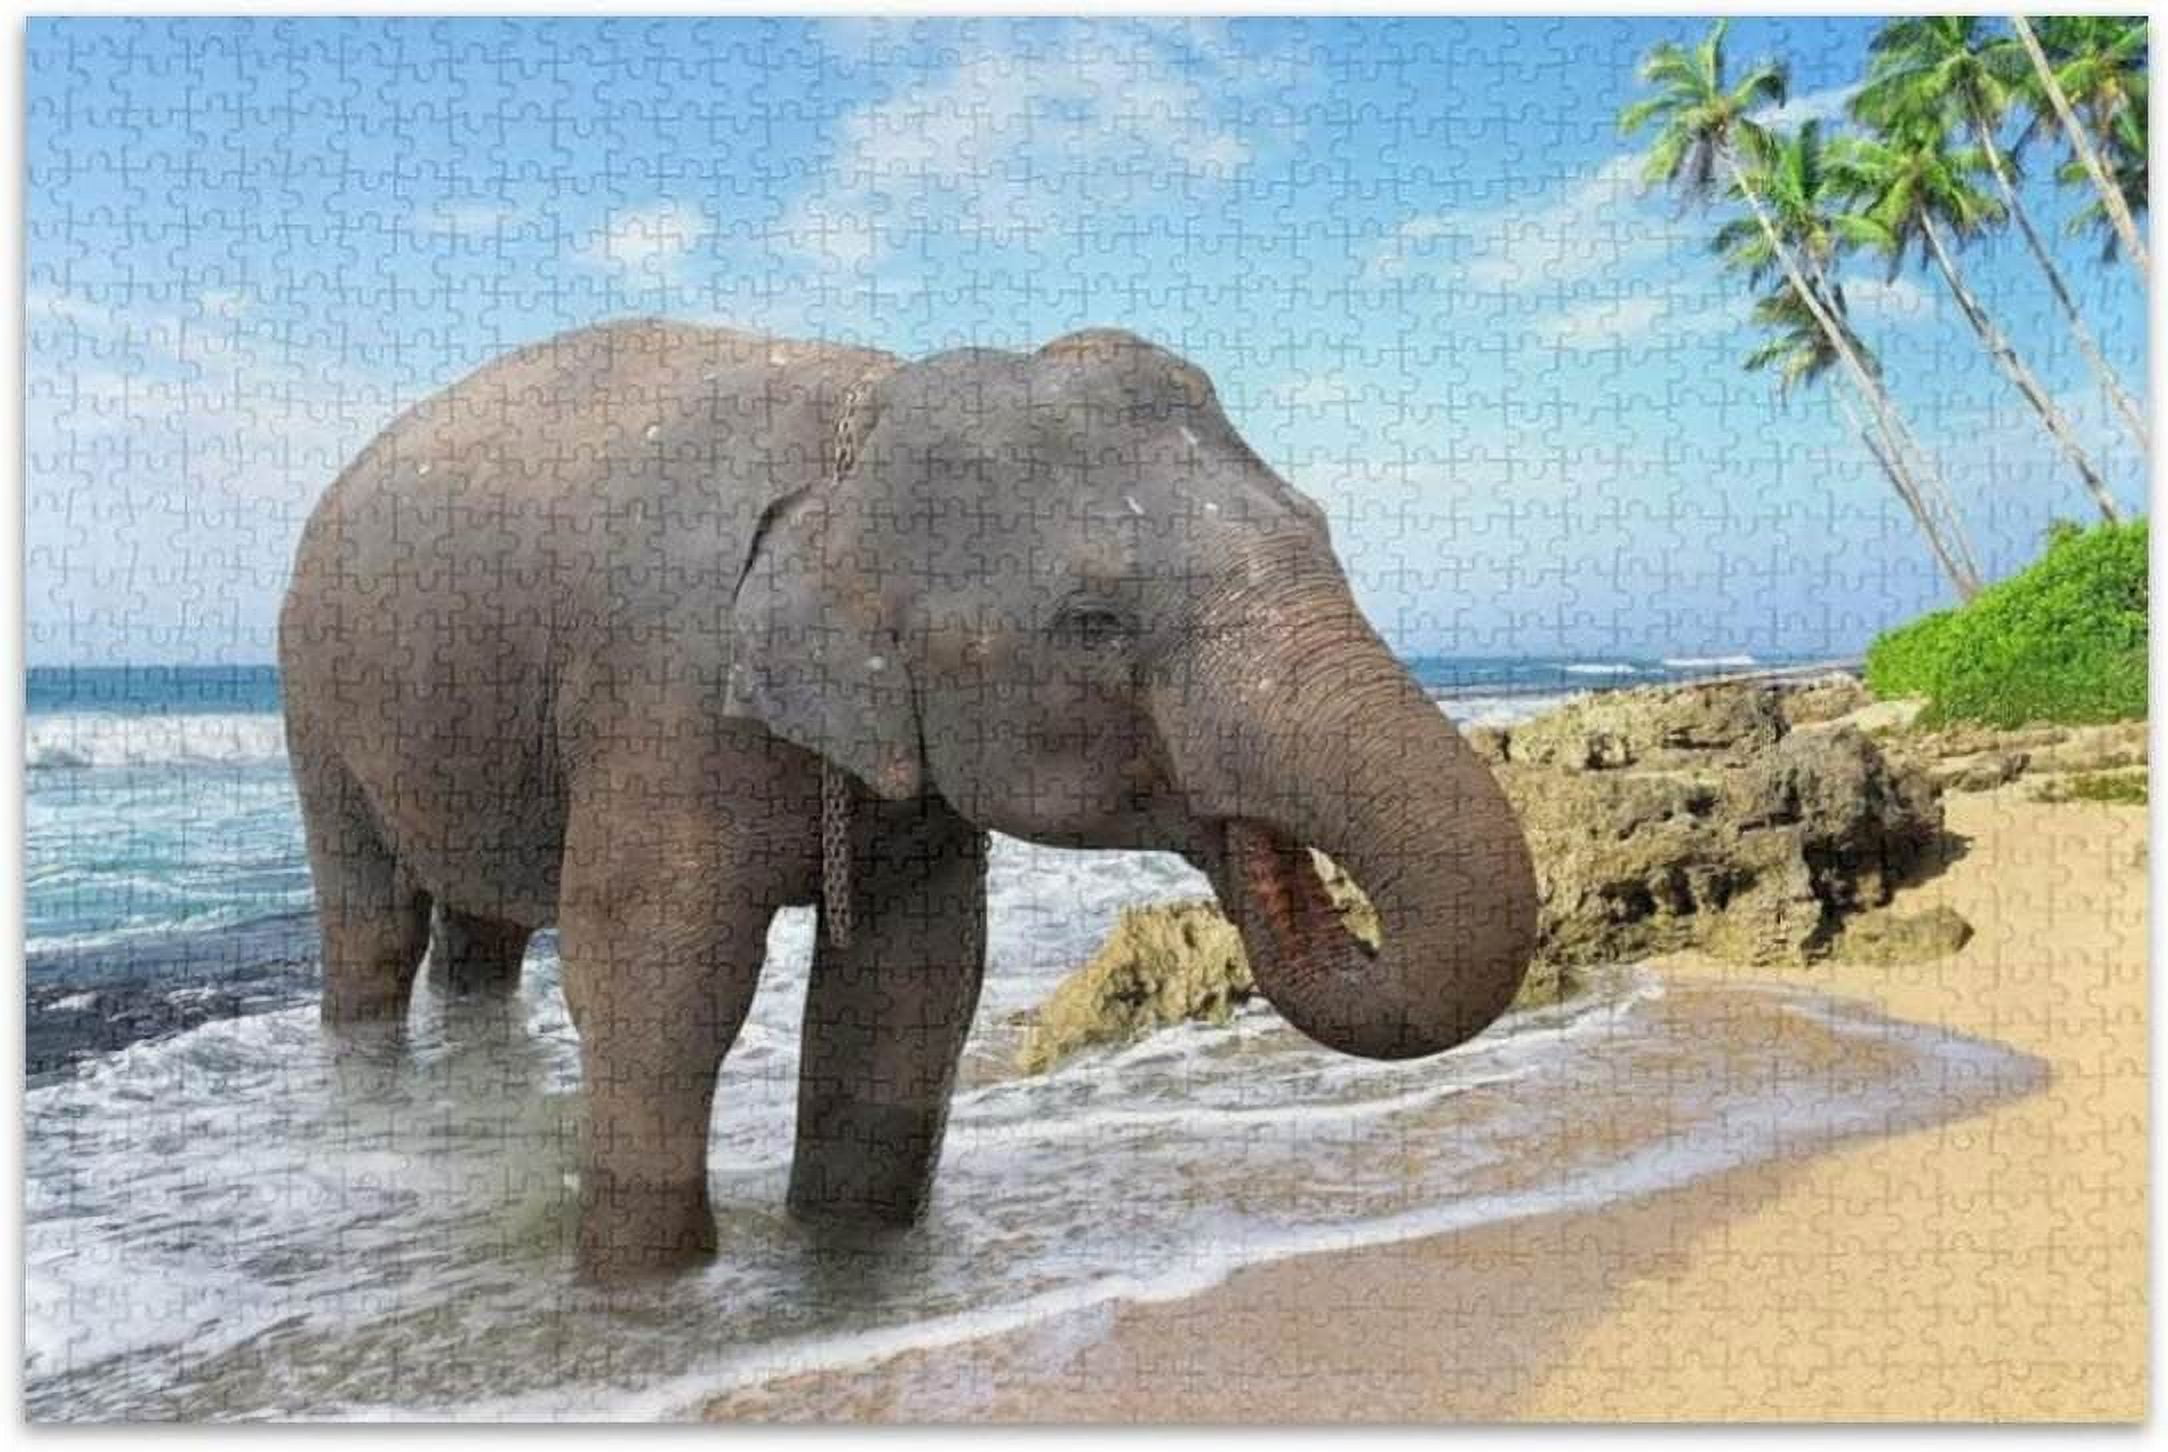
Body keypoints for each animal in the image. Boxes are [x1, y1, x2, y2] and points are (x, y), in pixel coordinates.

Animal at [278, 318, 1538, 1281]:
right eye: (1093, 622)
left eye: (1320, 528)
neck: (862, 419)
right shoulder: (665, 691)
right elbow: (658, 981)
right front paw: (641, 1293)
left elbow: (912, 982)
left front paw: (844, 1259)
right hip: (313, 697)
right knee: (374, 920)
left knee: (482, 934)